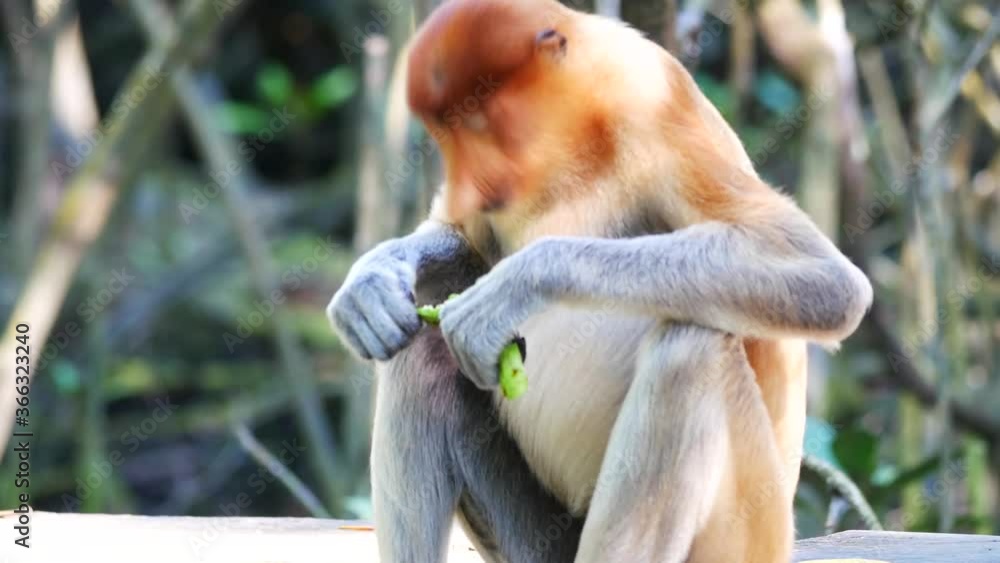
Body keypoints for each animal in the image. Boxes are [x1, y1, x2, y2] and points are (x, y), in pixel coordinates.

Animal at [327, 0, 873, 561]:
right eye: (443, 133)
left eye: (478, 122)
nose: (465, 184)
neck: (574, 138)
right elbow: (468, 243)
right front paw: (369, 287)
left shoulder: (653, 105)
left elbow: (826, 279)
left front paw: (510, 289)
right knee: (423, 354)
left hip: (743, 536)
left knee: (688, 353)